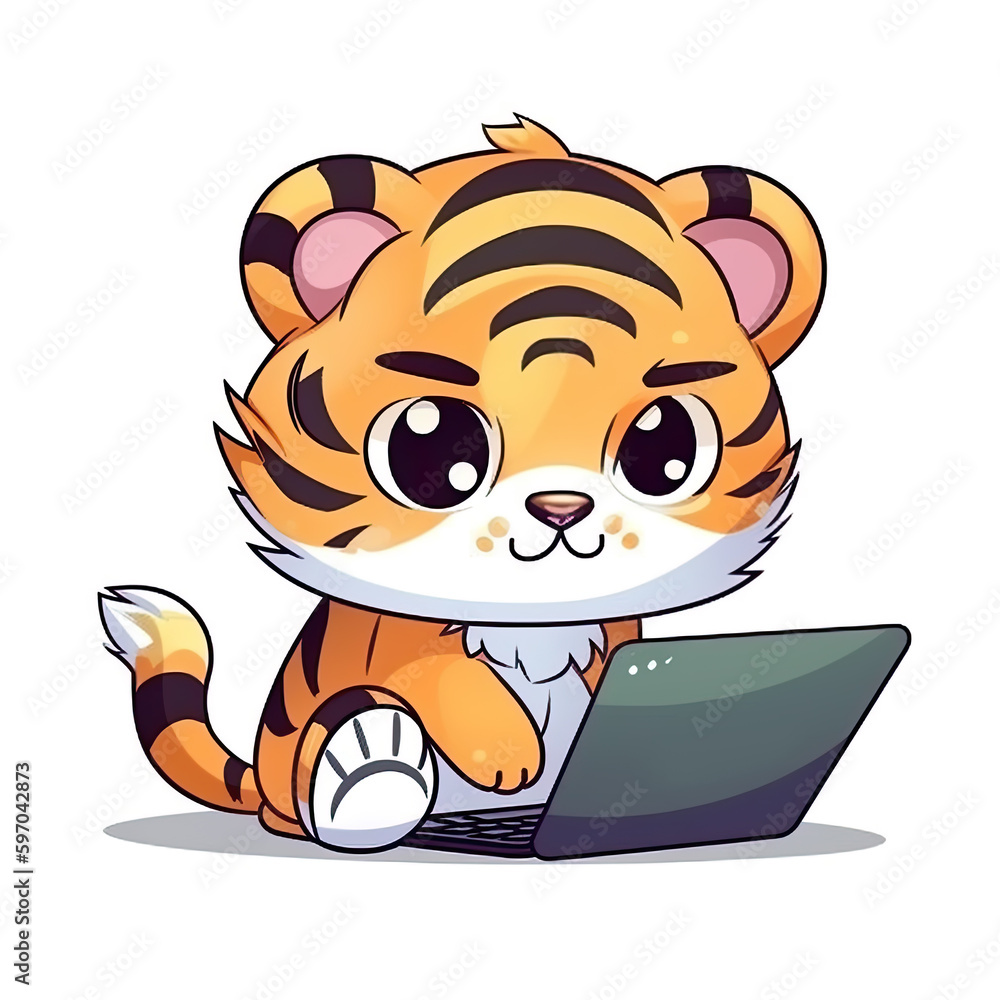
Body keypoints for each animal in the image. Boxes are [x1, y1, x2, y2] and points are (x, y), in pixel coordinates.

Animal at [98, 115, 824, 853]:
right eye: (434, 442)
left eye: (664, 446)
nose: (561, 508)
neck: (530, 618)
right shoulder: (403, 638)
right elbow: (442, 672)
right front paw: (507, 752)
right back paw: (367, 771)